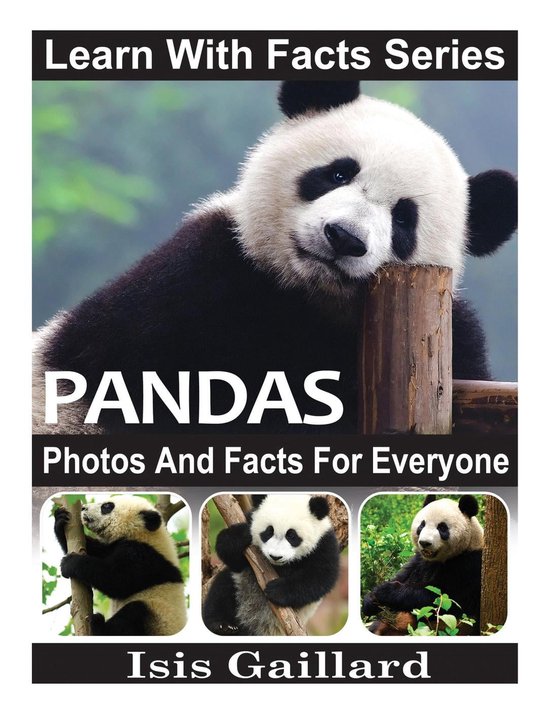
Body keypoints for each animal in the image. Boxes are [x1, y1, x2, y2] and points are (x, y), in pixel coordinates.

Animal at [33, 81, 517, 433]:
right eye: (338, 173)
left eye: (403, 219)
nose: (344, 237)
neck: (304, 295)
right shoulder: (195, 279)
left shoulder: (455, 344)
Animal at [54, 495, 187, 635]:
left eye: (107, 506)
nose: (83, 508)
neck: (144, 535)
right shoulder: (114, 547)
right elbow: (96, 550)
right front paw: (60, 520)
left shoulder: (145, 558)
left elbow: (118, 580)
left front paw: (70, 563)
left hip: (159, 619)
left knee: (134, 613)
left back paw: (99, 626)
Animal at [203, 494, 340, 636]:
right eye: (269, 531)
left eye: (291, 535)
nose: (275, 556)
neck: (280, 566)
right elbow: (232, 558)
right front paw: (239, 535)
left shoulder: (323, 545)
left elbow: (319, 578)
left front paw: (276, 590)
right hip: (239, 585)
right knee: (220, 593)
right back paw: (222, 625)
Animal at [362, 494, 484, 635]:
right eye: (422, 525)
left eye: (442, 527)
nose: (425, 543)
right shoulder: (418, 561)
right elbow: (402, 576)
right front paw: (370, 601)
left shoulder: (469, 566)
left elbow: (444, 599)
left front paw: (385, 591)